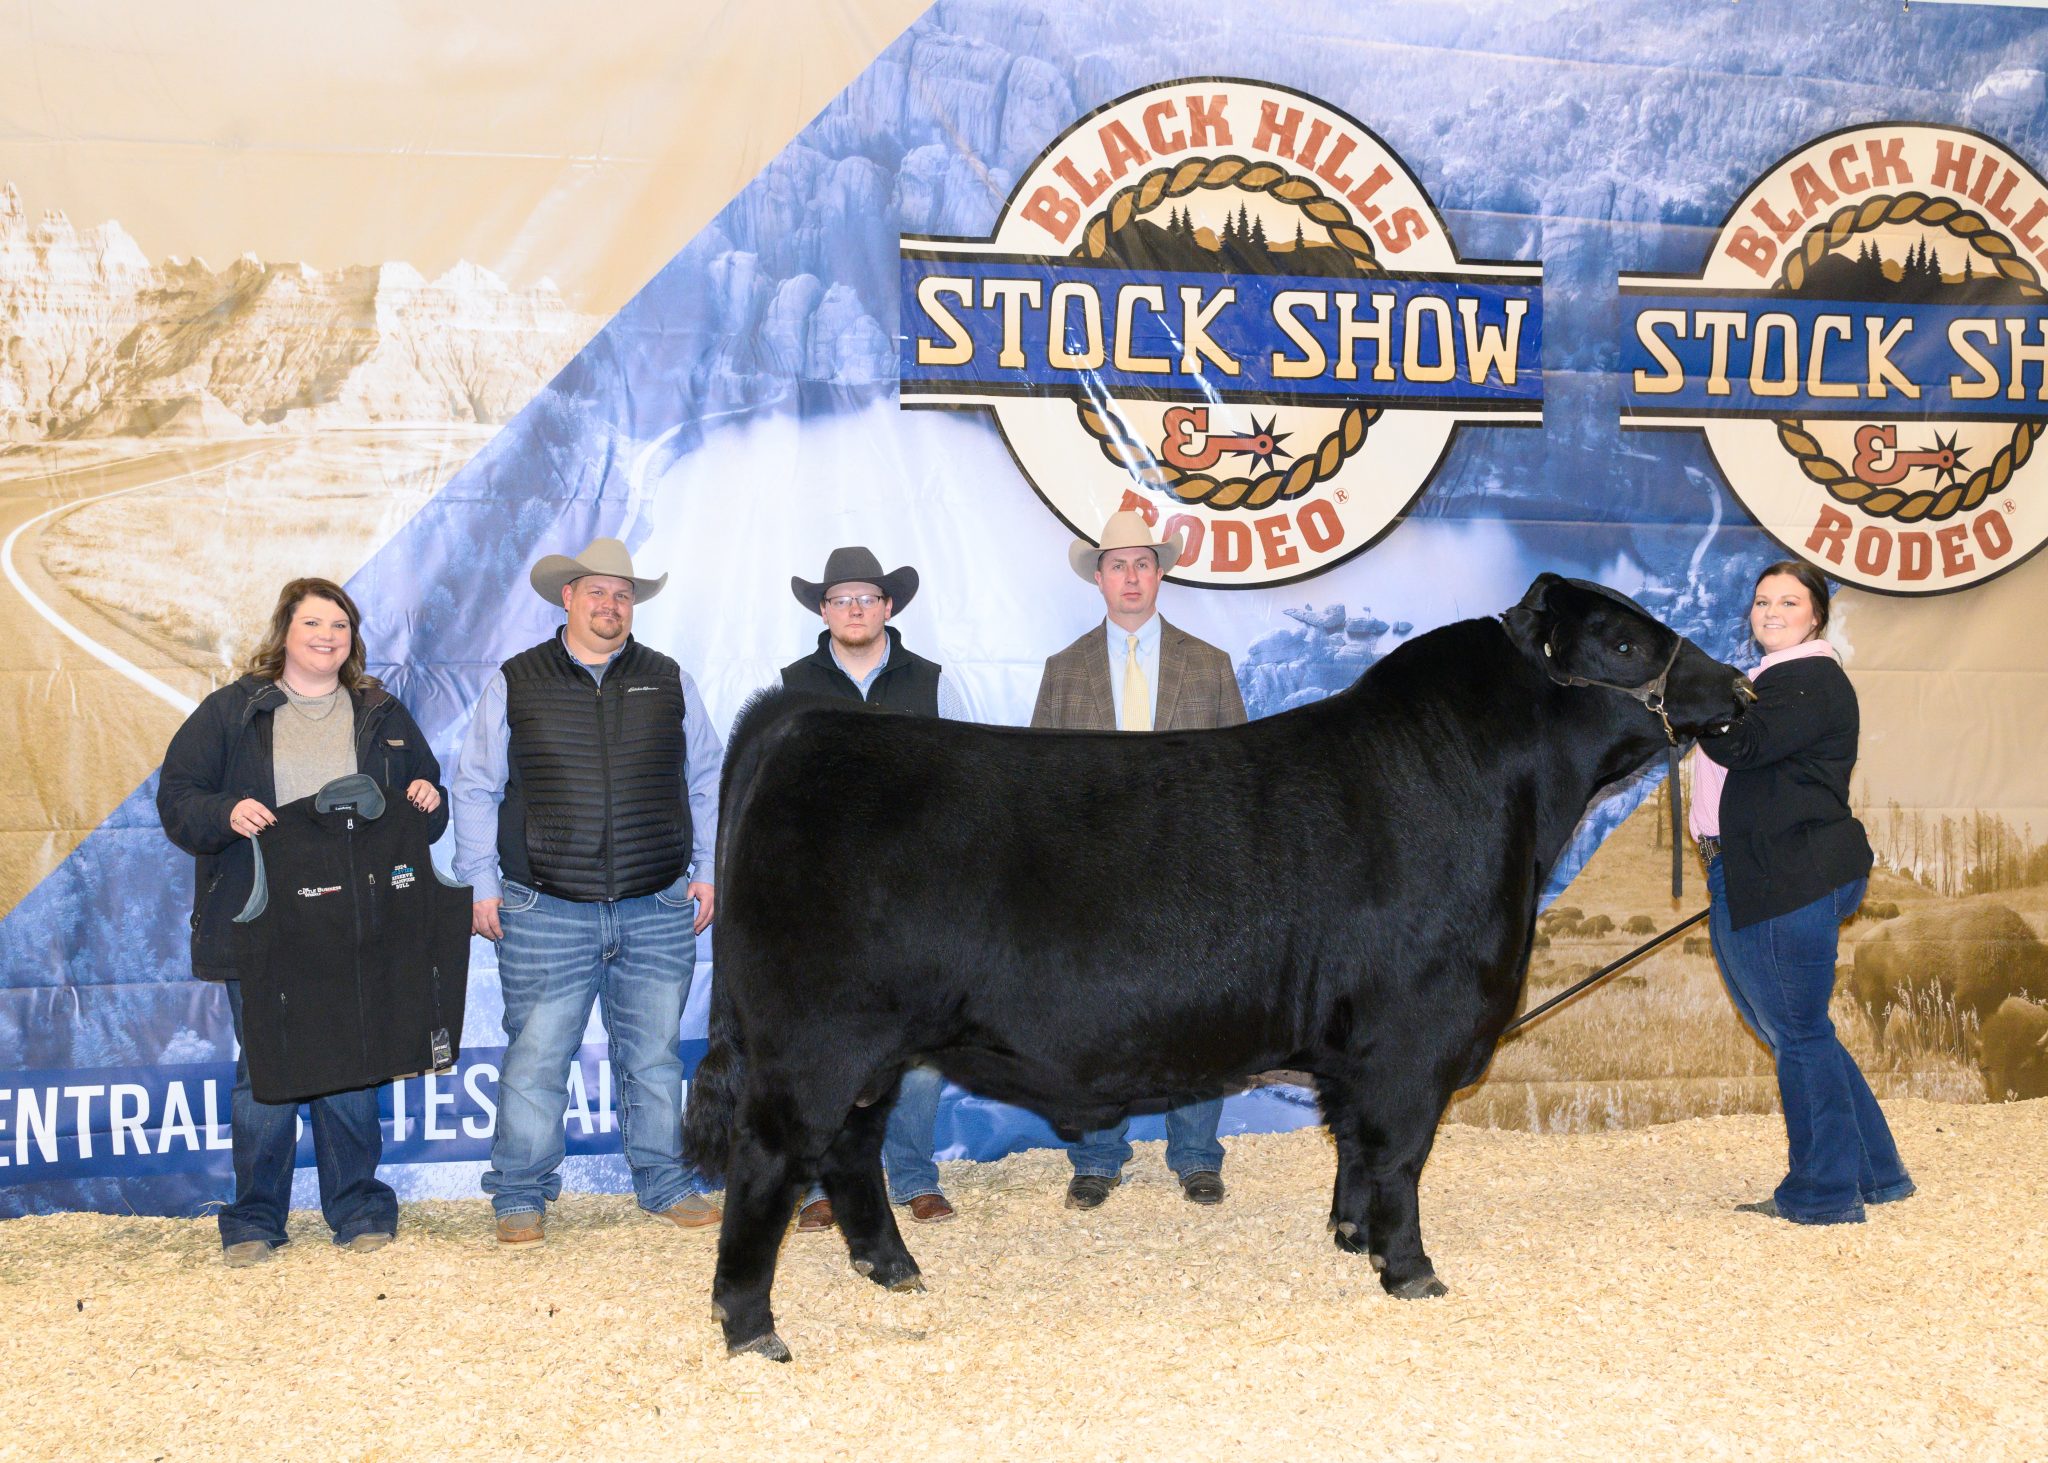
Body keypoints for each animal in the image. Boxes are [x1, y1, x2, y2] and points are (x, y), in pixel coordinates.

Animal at [682, 574, 1753, 1360]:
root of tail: (804, 722)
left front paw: (1351, 1237)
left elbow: (1354, 1144)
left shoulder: (1359, 1048)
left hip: (866, 1050)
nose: (1740, 686)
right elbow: (1400, 1154)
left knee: (850, 1151)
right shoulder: (1414, 1033)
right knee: (772, 1157)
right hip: (813, 1043)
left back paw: (892, 1266)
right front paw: (1412, 1270)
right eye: (1623, 645)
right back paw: (750, 1324)